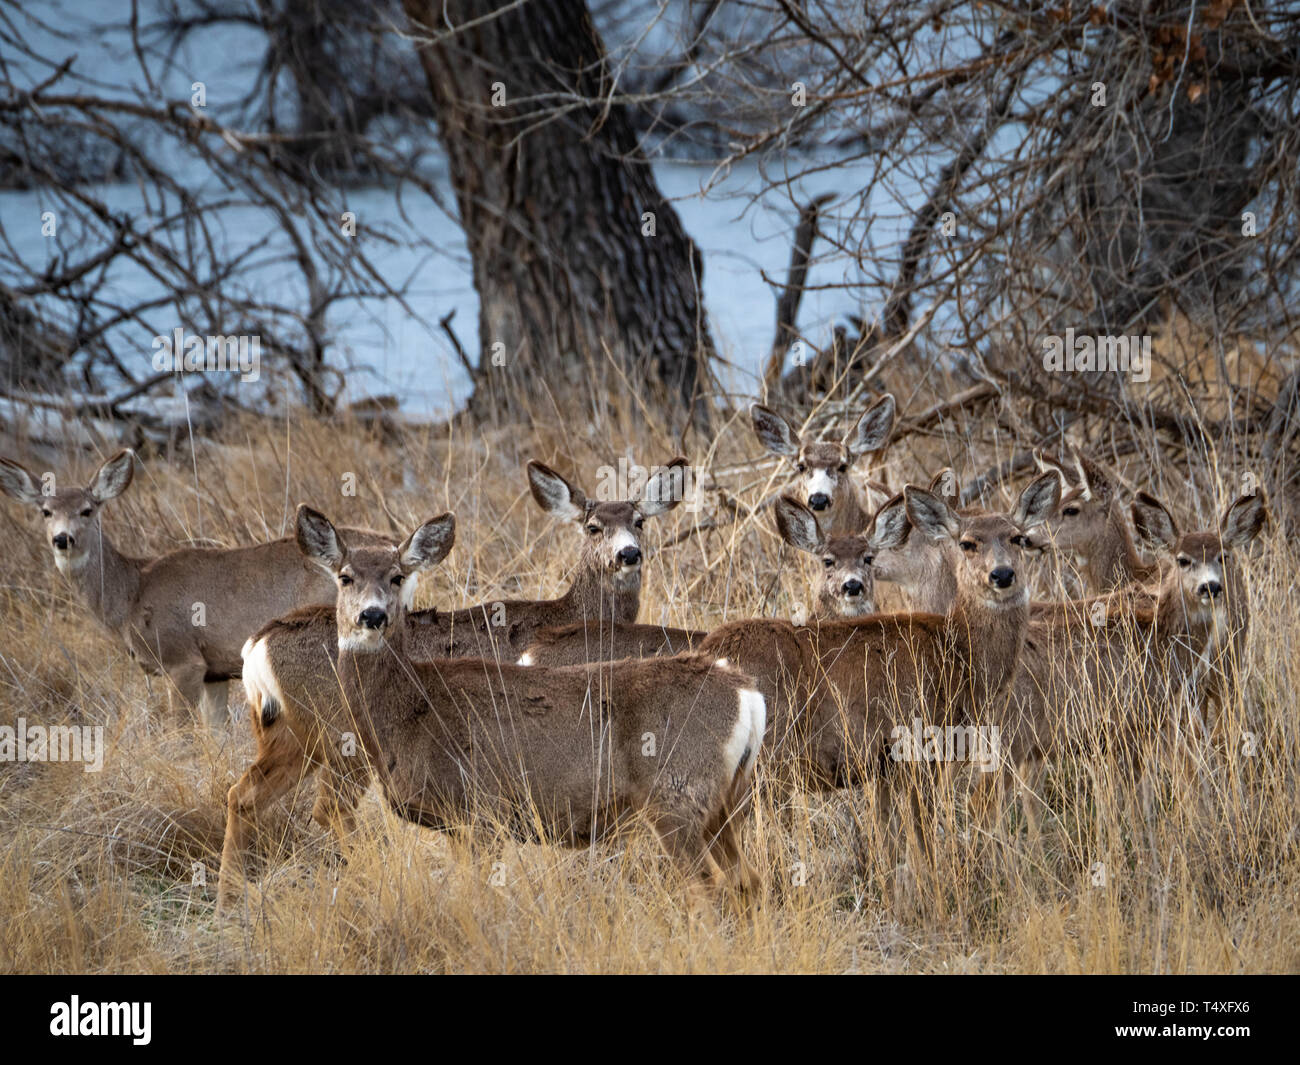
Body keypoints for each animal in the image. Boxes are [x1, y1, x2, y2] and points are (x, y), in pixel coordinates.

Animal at [0, 449, 385, 730]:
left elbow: (181, 731)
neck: (131, 594)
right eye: (45, 511)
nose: (62, 539)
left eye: (86, 510)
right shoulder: (215, 671)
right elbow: (215, 733)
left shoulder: (182, 658)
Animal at [217, 506, 767, 913]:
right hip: (720, 804)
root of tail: (748, 696)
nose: (371, 616)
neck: (410, 709)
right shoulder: (464, 824)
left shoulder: (479, 812)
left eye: (397, 577)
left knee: (712, 889)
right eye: (345, 577)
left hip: (677, 796)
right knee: (747, 881)